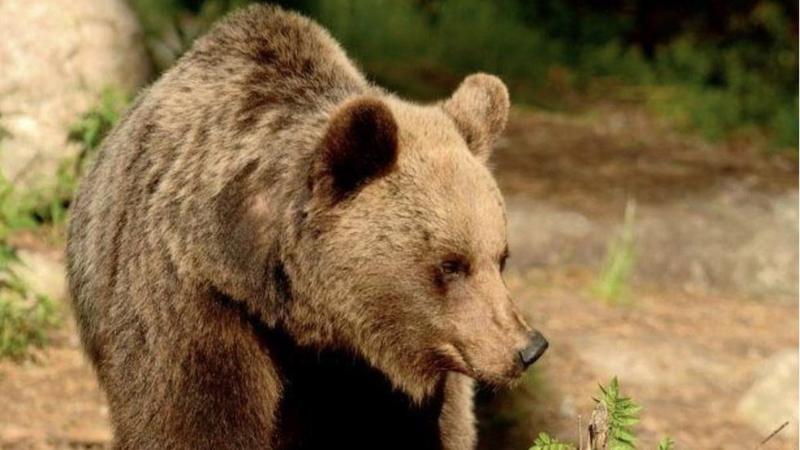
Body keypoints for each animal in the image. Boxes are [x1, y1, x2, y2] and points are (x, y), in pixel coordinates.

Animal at [66, 4, 548, 450]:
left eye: (501, 257)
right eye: (451, 264)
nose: (528, 347)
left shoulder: (377, 376)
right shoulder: (194, 301)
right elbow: (192, 421)